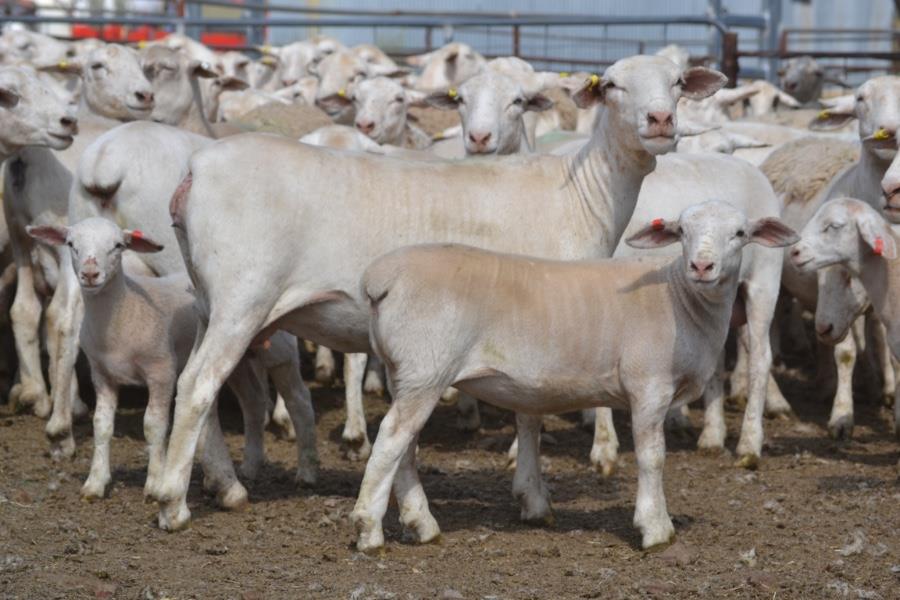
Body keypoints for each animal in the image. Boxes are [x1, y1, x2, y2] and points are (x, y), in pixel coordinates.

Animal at [352, 201, 798, 552]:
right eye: (682, 232)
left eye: (739, 233)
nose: (701, 266)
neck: (680, 298)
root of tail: (380, 279)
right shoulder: (649, 386)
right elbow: (653, 457)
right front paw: (656, 529)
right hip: (427, 367)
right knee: (391, 440)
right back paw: (369, 530)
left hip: (406, 371)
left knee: (405, 446)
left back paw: (421, 525)